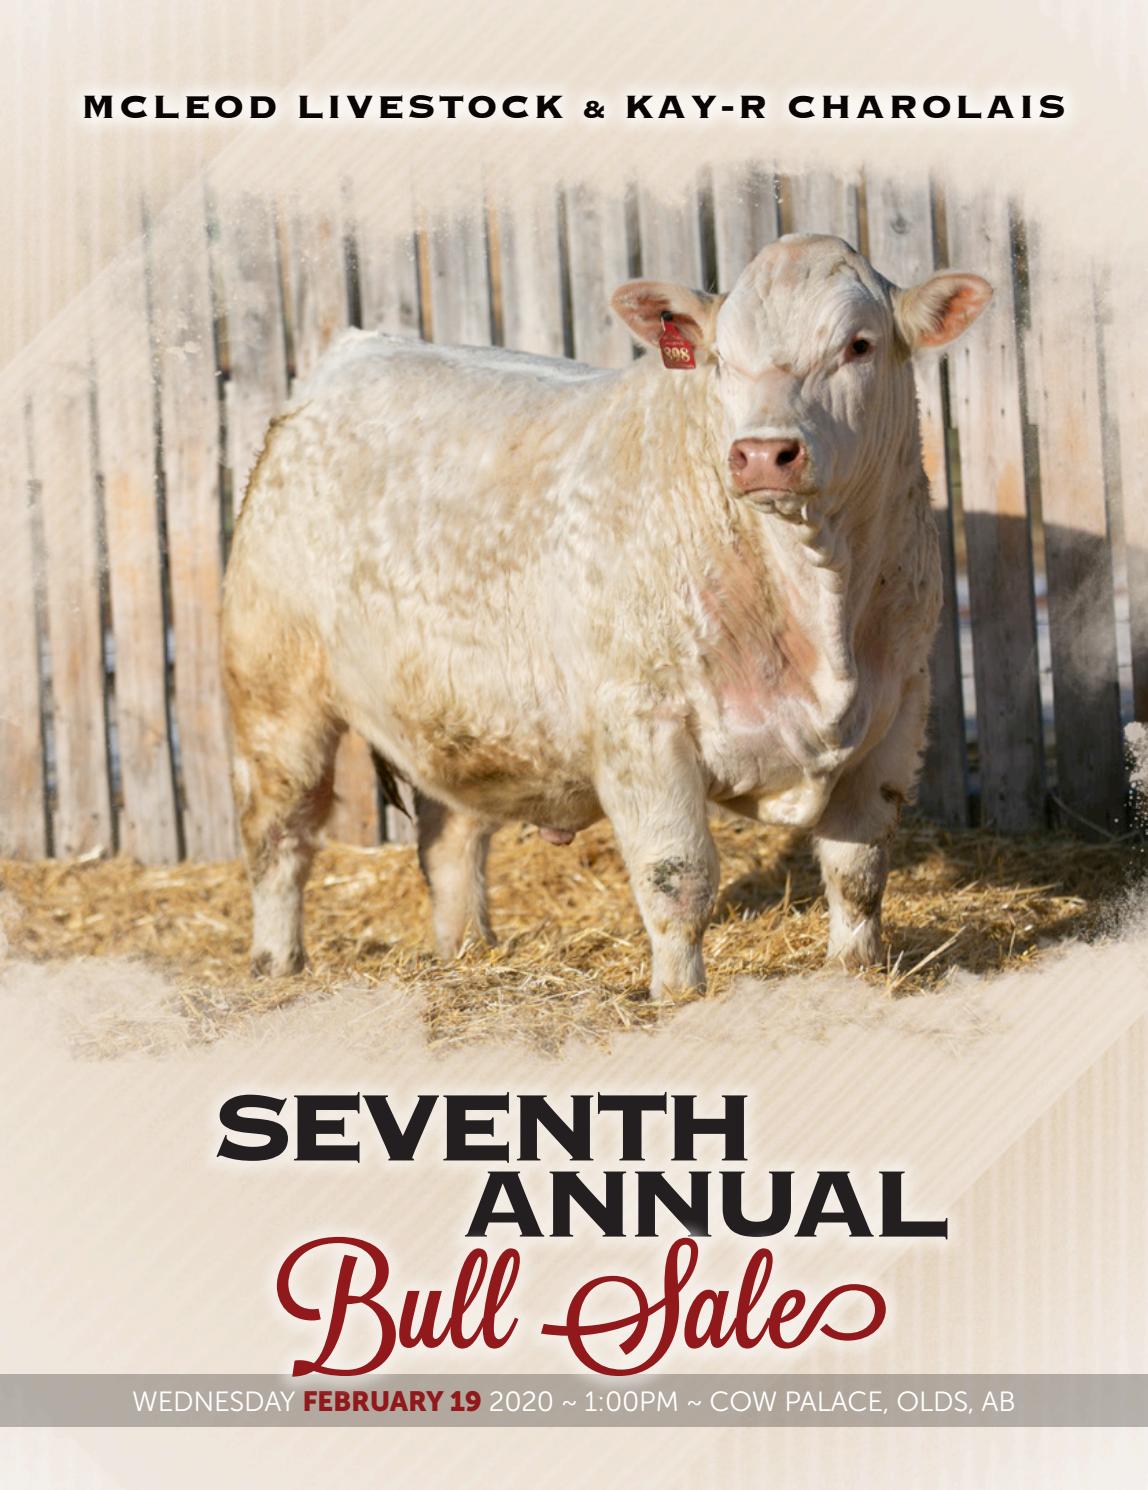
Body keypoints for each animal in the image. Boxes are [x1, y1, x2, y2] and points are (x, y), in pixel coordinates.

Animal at [221, 232, 991, 999]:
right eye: (720, 357)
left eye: (859, 346)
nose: (762, 452)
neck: (816, 608)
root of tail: (354, 351)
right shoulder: (642, 724)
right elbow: (678, 877)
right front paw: (680, 995)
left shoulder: (898, 712)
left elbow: (858, 871)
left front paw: (853, 973)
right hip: (276, 693)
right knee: (279, 833)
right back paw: (277, 964)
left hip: (460, 711)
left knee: (450, 840)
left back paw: (466, 951)